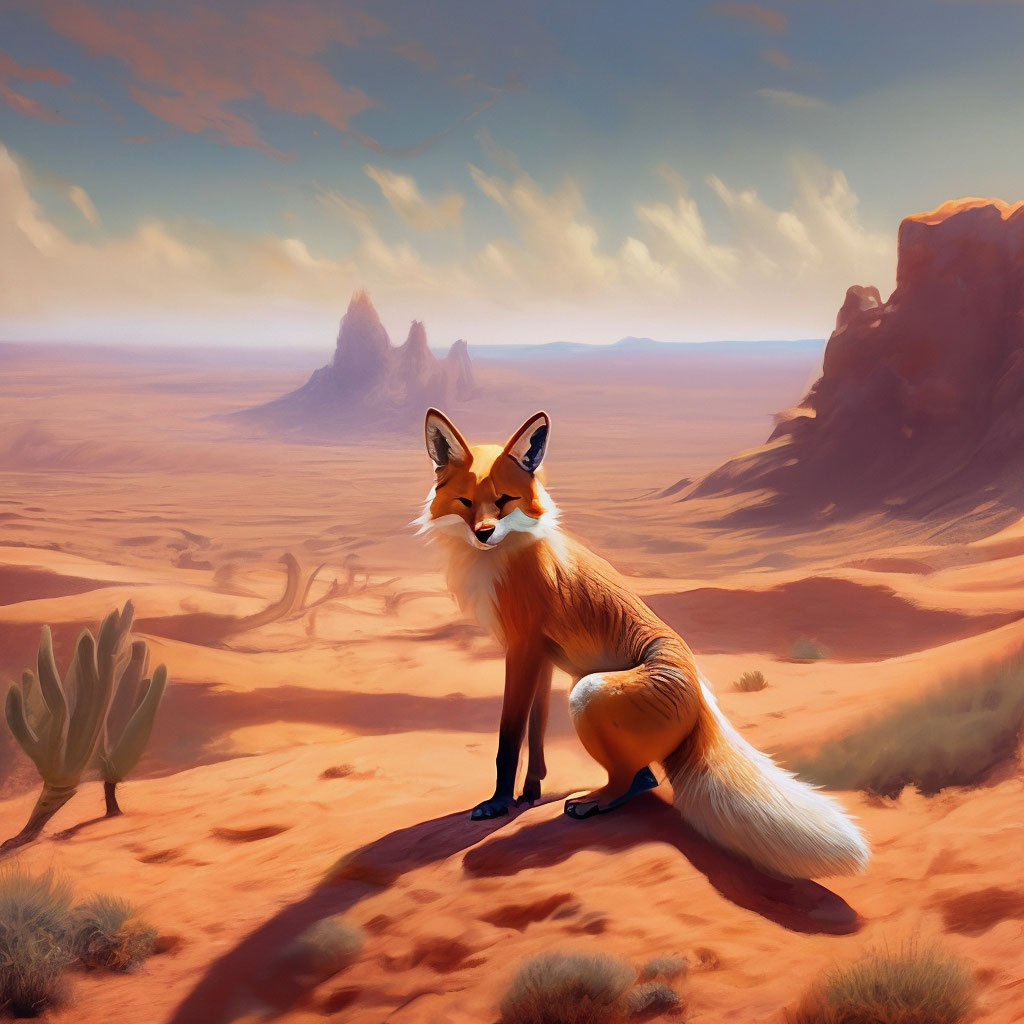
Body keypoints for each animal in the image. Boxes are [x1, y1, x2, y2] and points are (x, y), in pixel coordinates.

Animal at [416, 408, 870, 879]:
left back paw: (595, 801)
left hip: (587, 692)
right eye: (466, 502)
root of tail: (701, 696)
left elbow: (507, 739)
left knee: (640, 778)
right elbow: (535, 730)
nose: (484, 533)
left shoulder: (522, 648)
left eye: (504, 500)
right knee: (643, 776)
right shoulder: (539, 655)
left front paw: (499, 803)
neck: (507, 557)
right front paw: (531, 792)